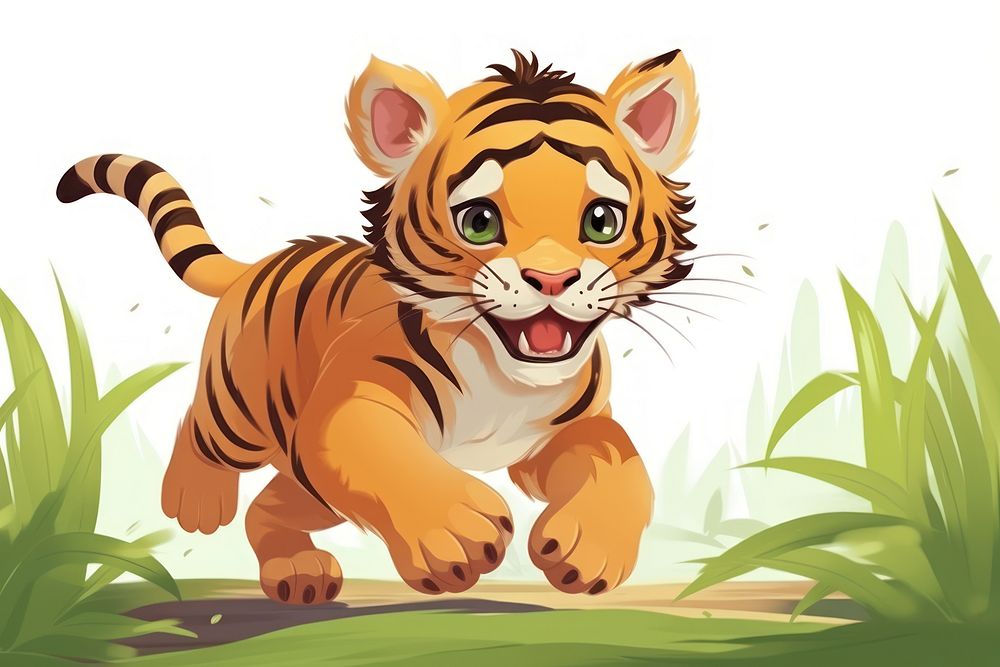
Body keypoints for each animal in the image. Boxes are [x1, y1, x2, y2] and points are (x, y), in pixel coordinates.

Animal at [56, 49, 698, 603]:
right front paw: (458, 535)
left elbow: (621, 459)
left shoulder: (568, 428)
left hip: (311, 486)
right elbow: (382, 453)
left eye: (601, 220)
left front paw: (590, 549)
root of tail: (257, 264)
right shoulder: (350, 401)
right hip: (240, 409)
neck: (502, 374)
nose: (552, 278)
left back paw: (299, 571)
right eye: (480, 221)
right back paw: (195, 502)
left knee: (269, 508)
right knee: (199, 427)